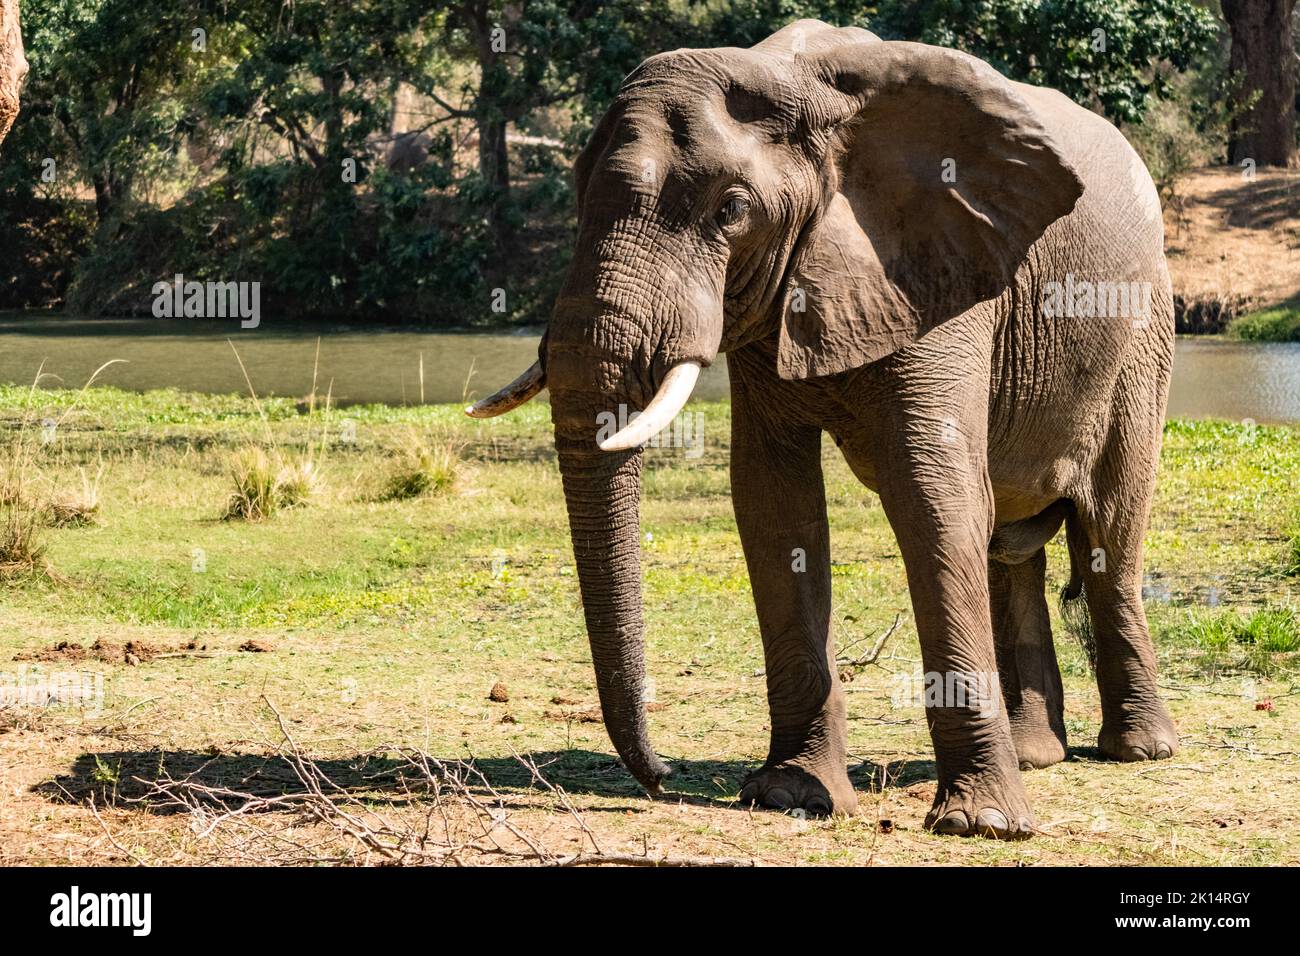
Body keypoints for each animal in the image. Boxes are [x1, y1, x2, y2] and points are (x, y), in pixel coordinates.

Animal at [469, 19, 1178, 838]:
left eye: (731, 211)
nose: (661, 776)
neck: (795, 81)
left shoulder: (940, 272)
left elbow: (933, 497)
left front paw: (982, 824)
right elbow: (774, 501)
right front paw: (794, 796)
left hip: (1143, 338)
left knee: (1107, 538)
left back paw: (1140, 750)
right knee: (1012, 543)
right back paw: (1038, 756)